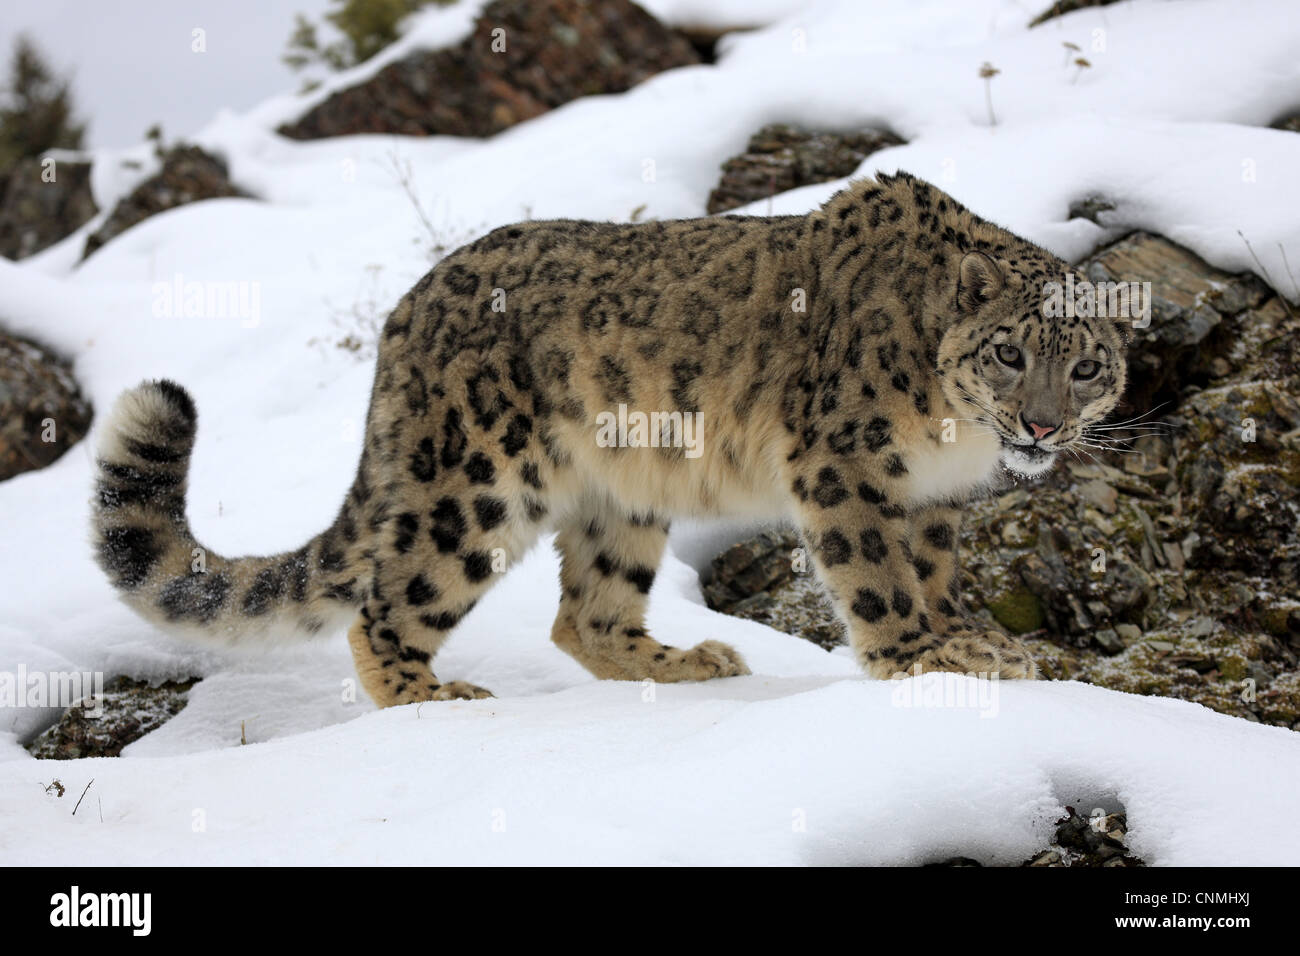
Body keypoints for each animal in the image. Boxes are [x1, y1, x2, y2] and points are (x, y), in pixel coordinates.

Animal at [92, 171, 1128, 706]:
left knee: (584, 613)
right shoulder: (845, 465)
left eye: (1087, 367)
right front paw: (922, 658)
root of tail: (405, 312)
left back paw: (686, 664)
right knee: (386, 604)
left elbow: (935, 571)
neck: (952, 433)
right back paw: (428, 699)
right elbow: (876, 575)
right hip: (472, 483)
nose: (1041, 423)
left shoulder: (934, 498)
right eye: (1008, 352)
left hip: (624, 496)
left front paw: (969, 637)